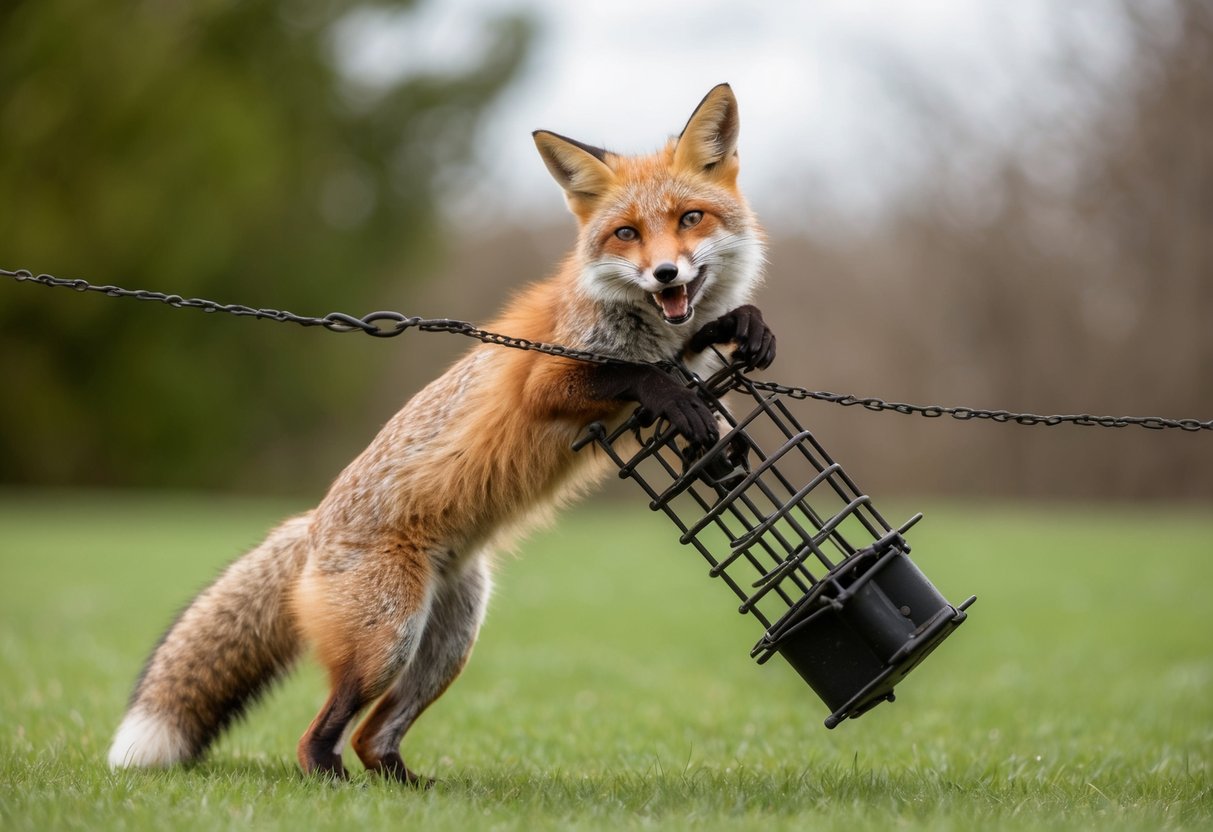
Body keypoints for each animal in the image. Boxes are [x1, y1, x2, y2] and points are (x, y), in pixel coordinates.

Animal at [107, 83, 775, 782]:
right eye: (627, 233)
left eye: (690, 219)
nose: (666, 275)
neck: (648, 325)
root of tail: (313, 524)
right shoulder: (545, 380)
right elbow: (641, 376)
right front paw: (681, 396)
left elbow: (702, 362)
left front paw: (742, 346)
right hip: (387, 643)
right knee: (318, 738)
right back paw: (334, 783)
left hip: (447, 646)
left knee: (374, 738)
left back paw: (411, 787)